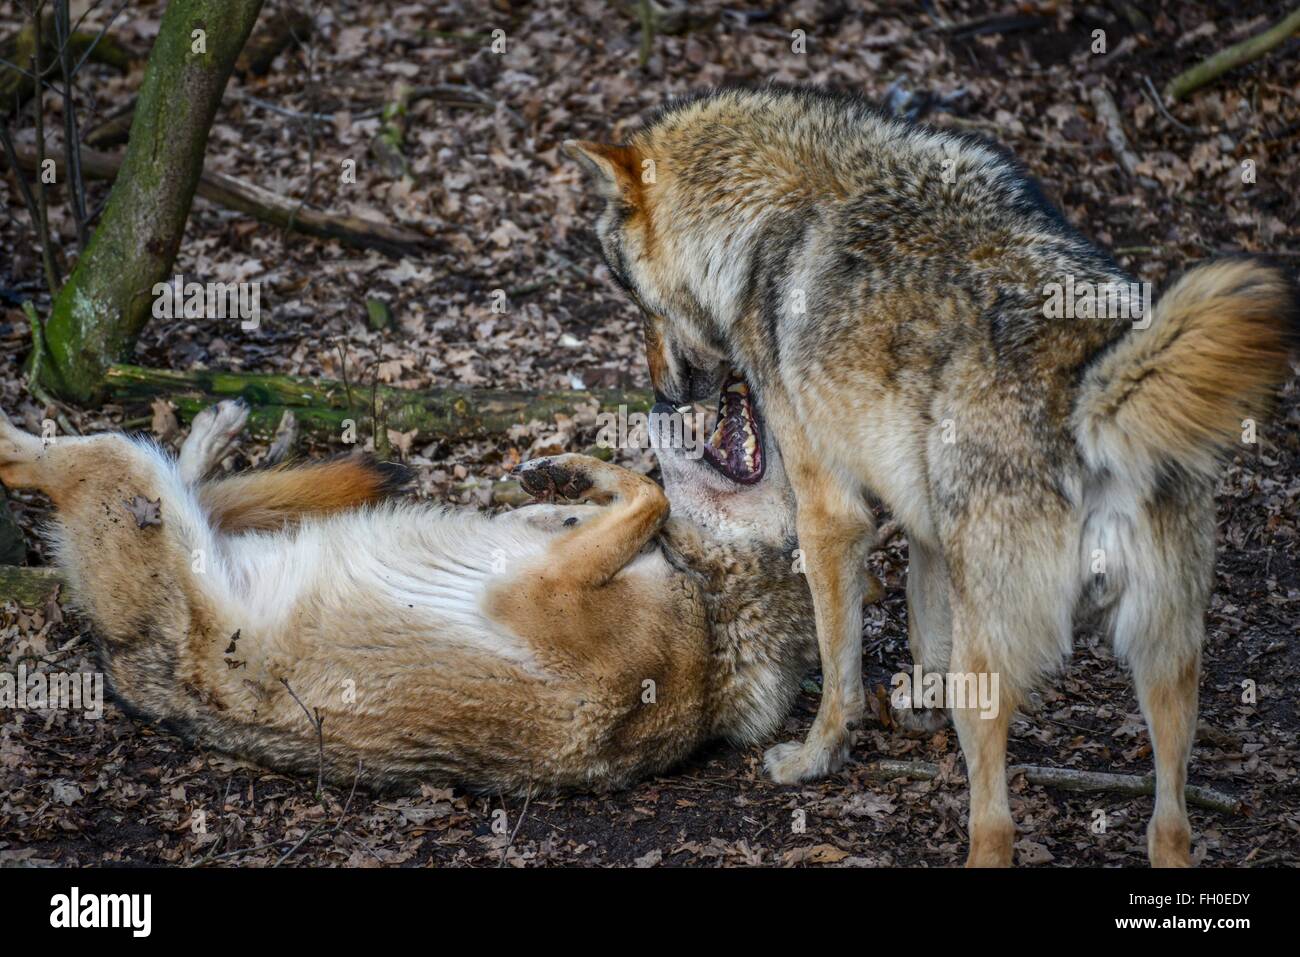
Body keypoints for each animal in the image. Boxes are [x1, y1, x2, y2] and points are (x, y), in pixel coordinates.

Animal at [0, 395, 866, 794]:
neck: (713, 610)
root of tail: (117, 666)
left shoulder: (538, 592)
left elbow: (648, 496)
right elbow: (628, 491)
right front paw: (563, 471)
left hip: (125, 478)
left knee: (42, 458)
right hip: (165, 493)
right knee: (196, 476)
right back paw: (223, 422)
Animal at [564, 86, 1296, 866]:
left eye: (633, 299)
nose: (663, 394)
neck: (766, 215)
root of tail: (1091, 393)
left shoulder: (830, 516)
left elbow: (840, 667)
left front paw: (816, 756)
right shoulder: (926, 522)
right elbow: (921, 625)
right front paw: (917, 704)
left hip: (1006, 663)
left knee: (997, 824)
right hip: (1168, 661)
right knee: (1170, 825)